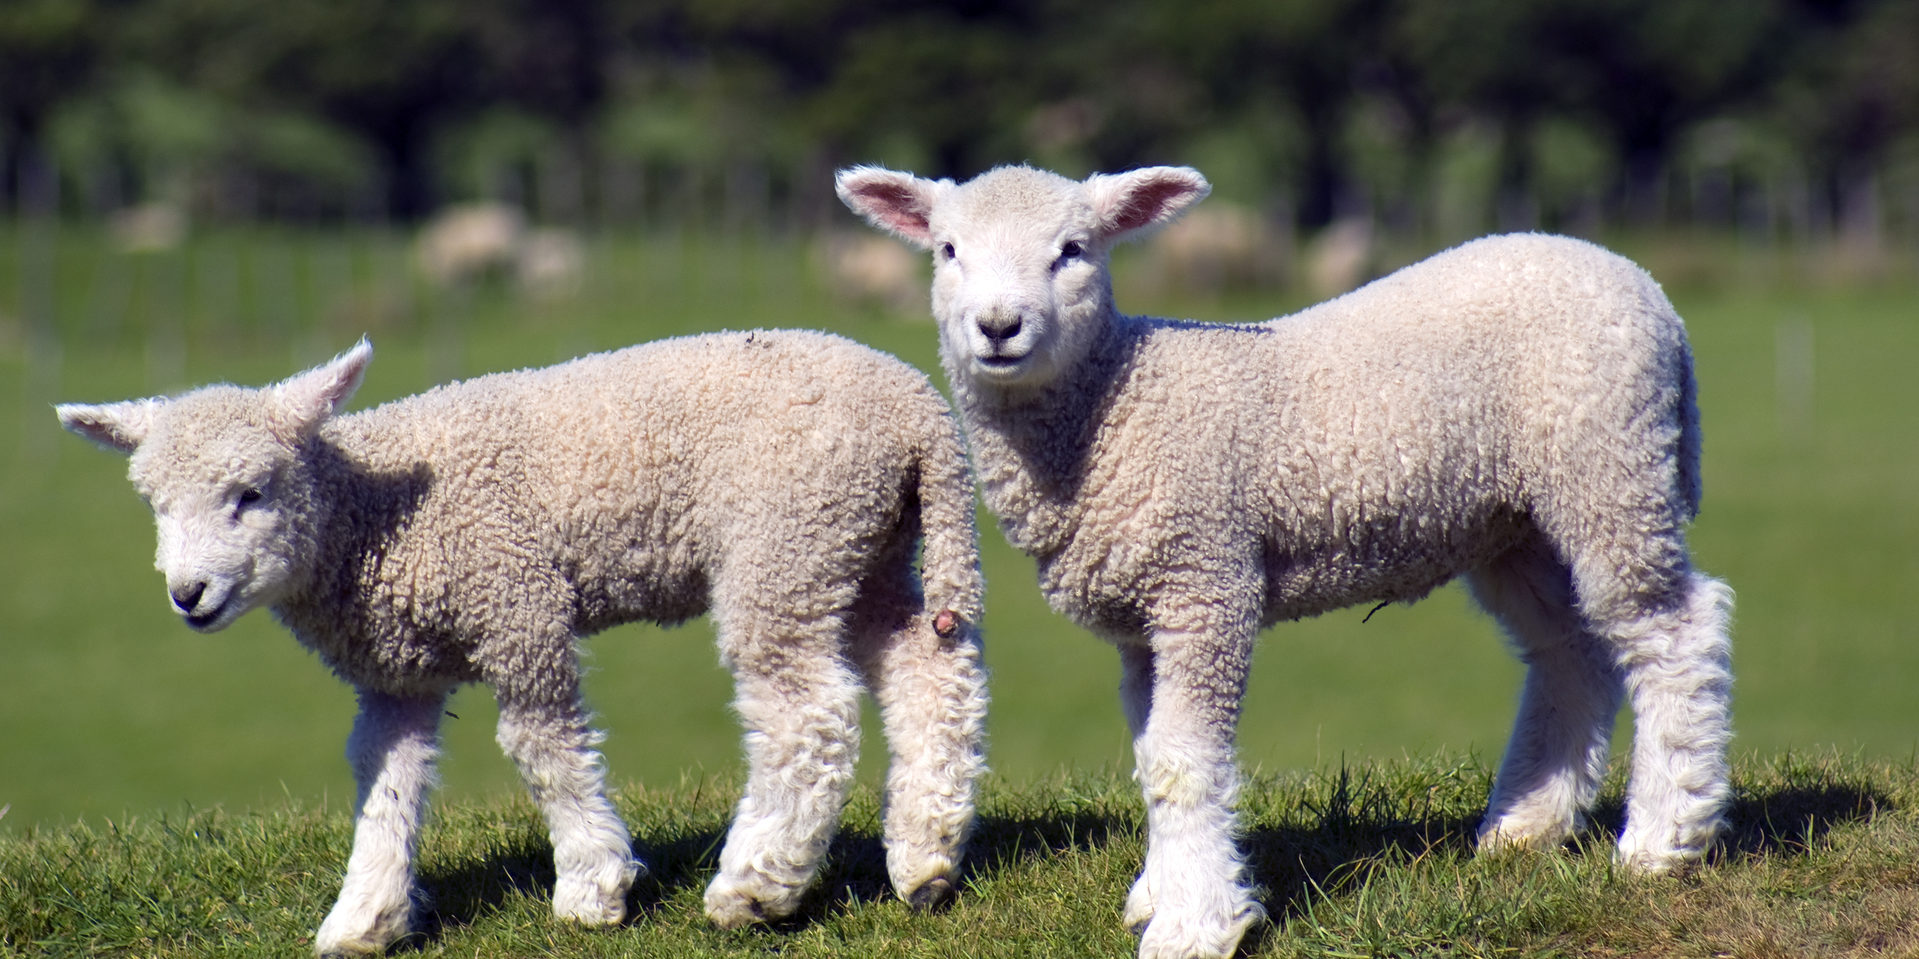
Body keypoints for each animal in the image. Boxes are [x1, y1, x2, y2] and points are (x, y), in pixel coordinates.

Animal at [55, 331, 988, 956]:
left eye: (252, 492)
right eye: (156, 505)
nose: (188, 595)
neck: (368, 518)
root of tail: (920, 409)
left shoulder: (516, 602)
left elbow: (542, 746)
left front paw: (592, 883)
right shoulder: (396, 673)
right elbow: (384, 777)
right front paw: (365, 914)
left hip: (787, 539)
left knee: (807, 714)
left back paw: (757, 884)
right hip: (863, 544)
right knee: (930, 669)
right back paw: (925, 857)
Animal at [838, 163, 1733, 959]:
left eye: (1073, 250)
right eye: (947, 248)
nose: (997, 326)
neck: (1111, 401)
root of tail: (1645, 286)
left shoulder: (1205, 578)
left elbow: (1183, 761)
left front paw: (1196, 924)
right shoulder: (1143, 614)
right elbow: (1150, 756)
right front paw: (1159, 890)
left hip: (1607, 464)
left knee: (1672, 629)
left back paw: (1663, 838)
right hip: (1512, 522)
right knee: (1569, 648)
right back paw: (1527, 826)